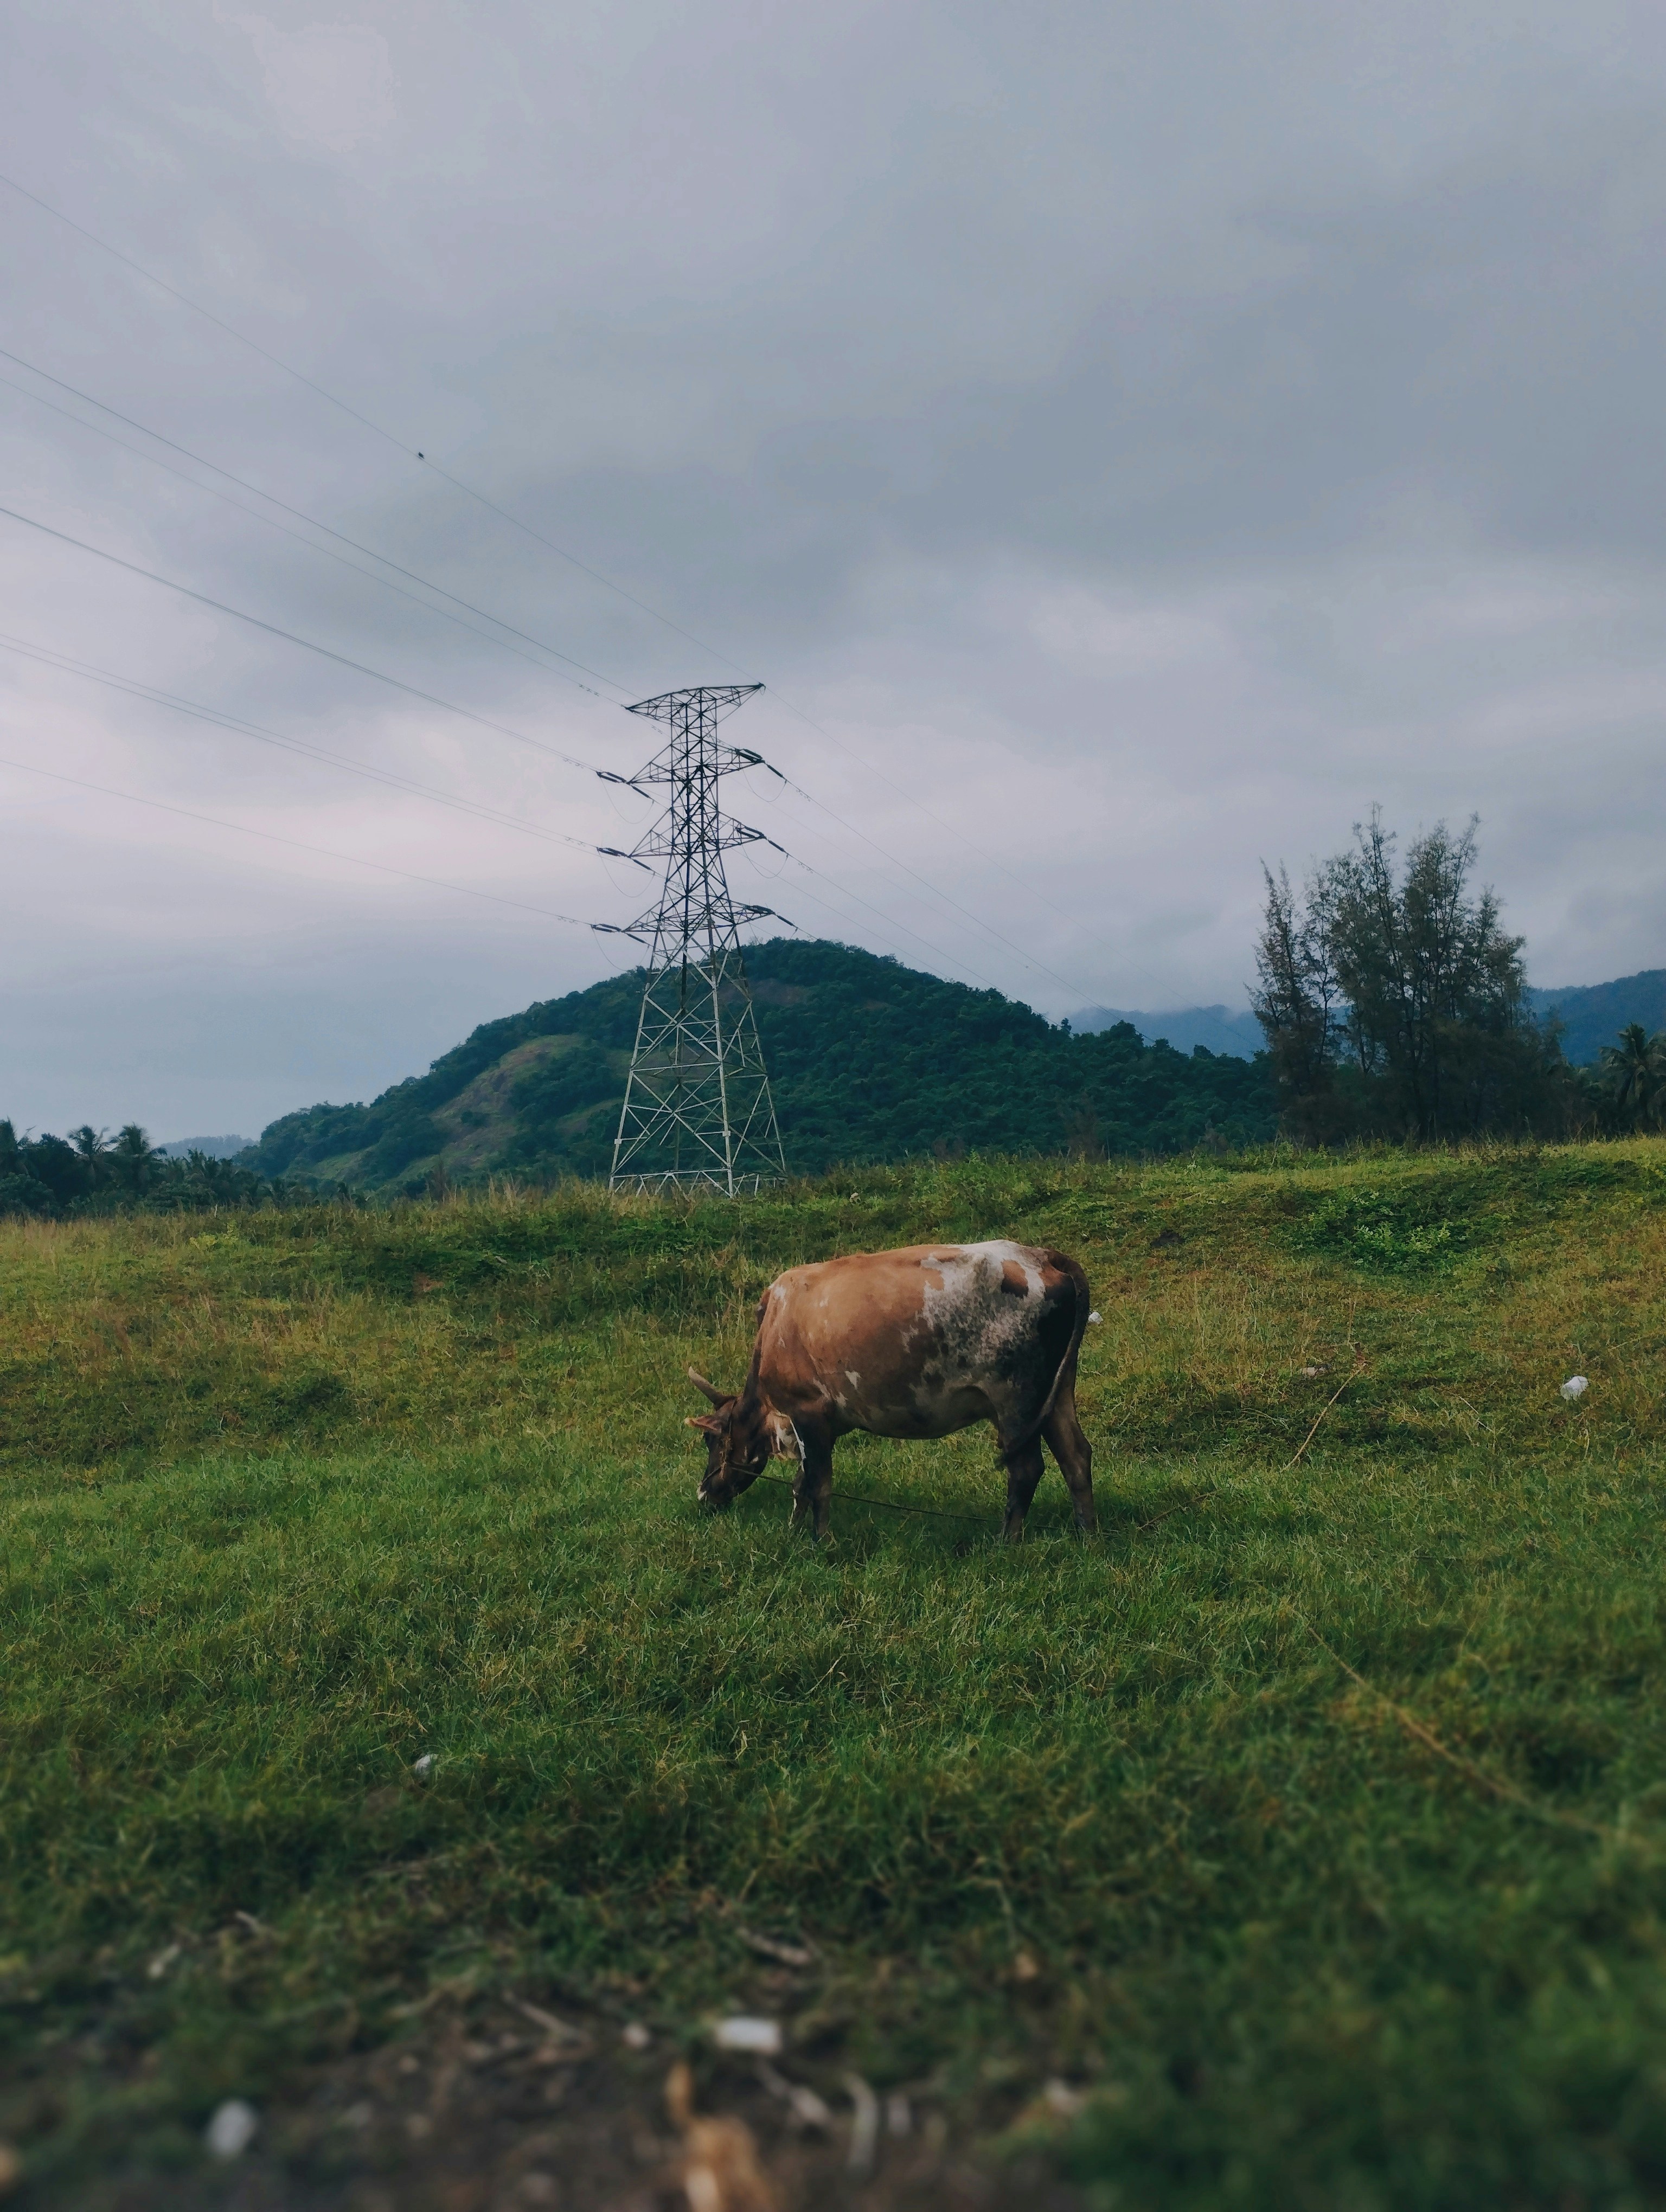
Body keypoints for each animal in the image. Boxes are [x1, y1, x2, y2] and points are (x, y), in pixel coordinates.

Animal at [686, 1240, 1096, 1542]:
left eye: (713, 1441)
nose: (703, 1495)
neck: (775, 1324)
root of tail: (1041, 1255)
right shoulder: (819, 1423)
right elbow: (802, 1483)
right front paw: (795, 1532)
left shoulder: (808, 1412)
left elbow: (818, 1482)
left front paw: (821, 1542)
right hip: (1056, 1394)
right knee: (1075, 1456)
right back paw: (1087, 1537)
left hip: (1015, 1398)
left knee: (1026, 1469)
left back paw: (1005, 1542)